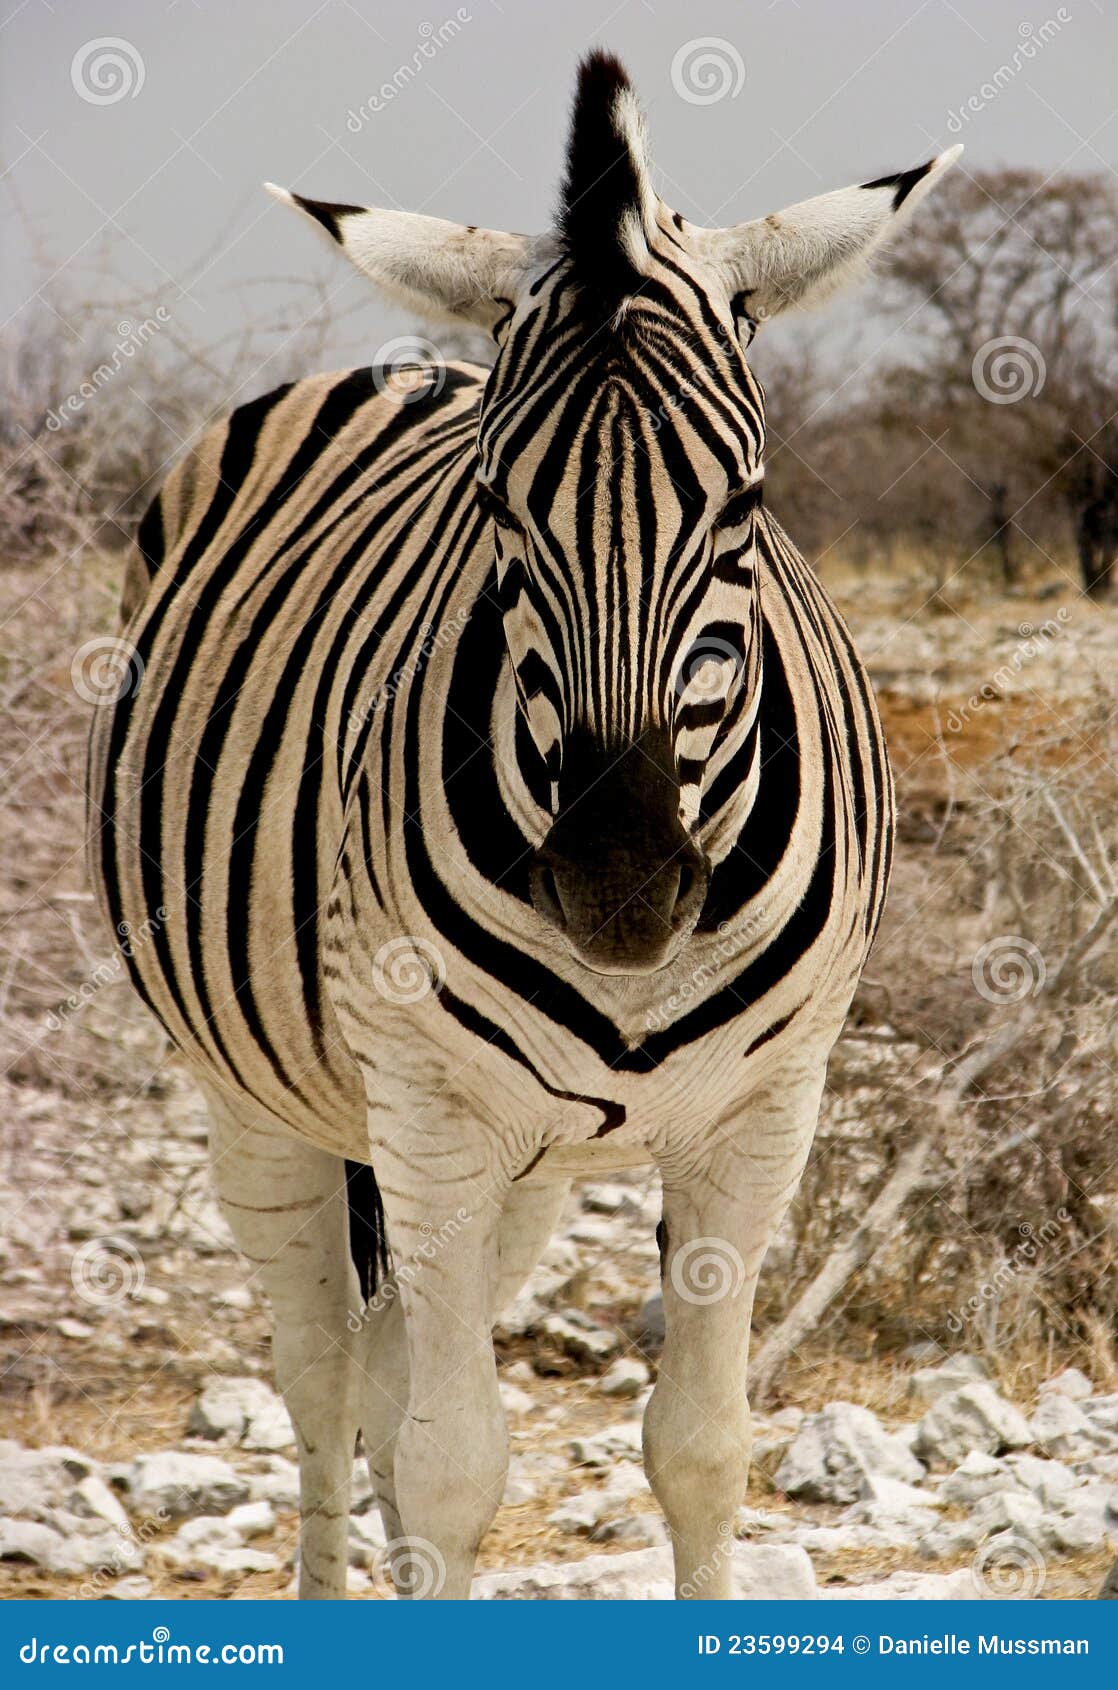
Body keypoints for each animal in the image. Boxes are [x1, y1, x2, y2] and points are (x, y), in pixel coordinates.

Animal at [88, 52, 959, 1599]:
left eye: (746, 499)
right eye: (494, 501)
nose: (619, 889)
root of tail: (401, 357)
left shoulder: (758, 1119)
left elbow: (699, 1445)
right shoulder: (431, 1112)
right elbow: (448, 1465)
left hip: (522, 1166)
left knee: (379, 1373)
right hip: (267, 1100)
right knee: (326, 1378)